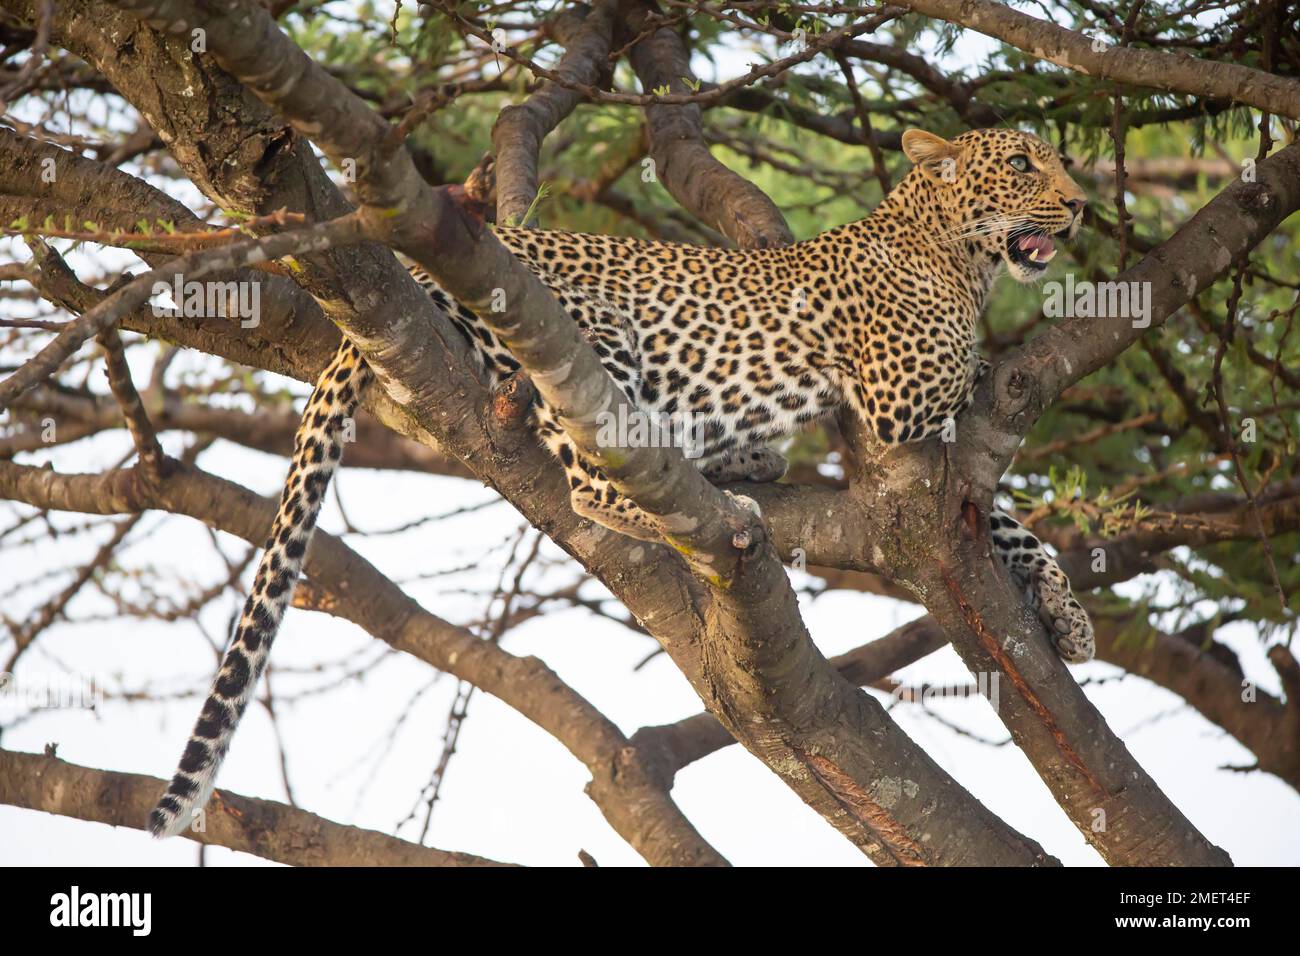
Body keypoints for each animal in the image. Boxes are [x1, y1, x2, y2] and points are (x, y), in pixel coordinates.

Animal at [147, 126, 1094, 838]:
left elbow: (1002, 516)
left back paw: (743, 462)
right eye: (1023, 164)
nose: (1083, 204)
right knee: (586, 479)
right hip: (584, 342)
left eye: (1057, 161)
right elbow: (978, 398)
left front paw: (1065, 613)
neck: (955, 253)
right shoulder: (902, 400)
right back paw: (715, 492)